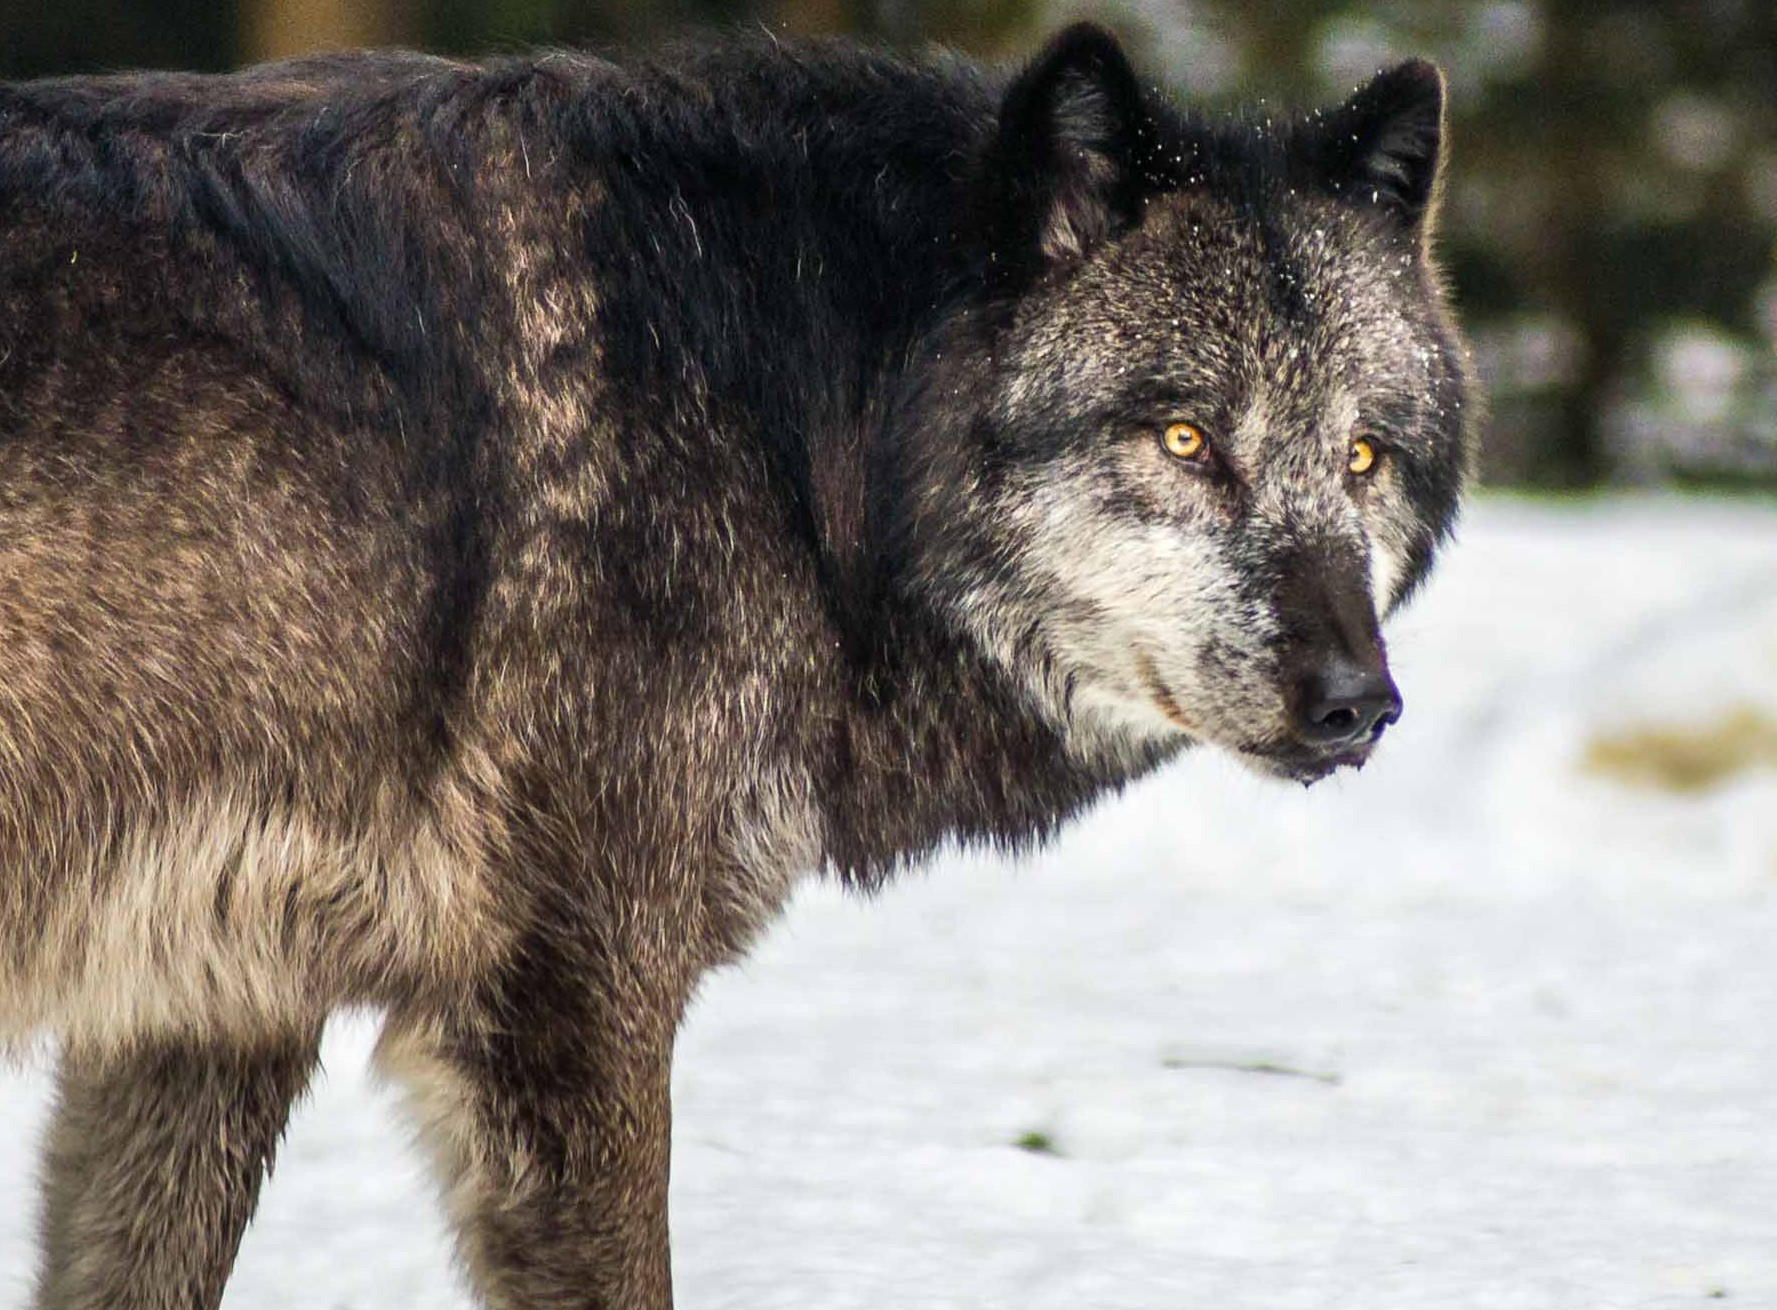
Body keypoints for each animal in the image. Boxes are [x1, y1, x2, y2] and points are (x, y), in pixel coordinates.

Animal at [0, 21, 1471, 1309]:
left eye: (1361, 455)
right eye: (1182, 438)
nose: (1356, 704)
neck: (795, 423)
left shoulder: (206, 1014)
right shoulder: (569, 1006)